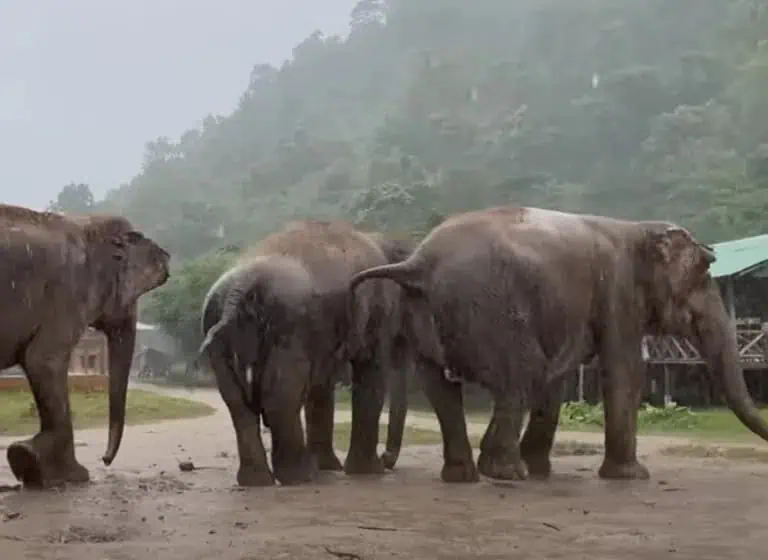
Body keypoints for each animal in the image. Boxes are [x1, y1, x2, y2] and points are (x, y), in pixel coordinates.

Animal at [0, 204, 170, 488]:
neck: (87, 225)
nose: (105, 459)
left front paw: (28, 462)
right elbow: (43, 361)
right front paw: (71, 475)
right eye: (133, 298)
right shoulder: (66, 296)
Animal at [197, 219, 410, 487]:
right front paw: (369, 471)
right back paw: (302, 476)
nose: (386, 459)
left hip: (216, 326)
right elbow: (371, 370)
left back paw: (258, 480)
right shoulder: (377, 311)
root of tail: (240, 285)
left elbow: (322, 383)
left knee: (237, 401)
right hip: (289, 323)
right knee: (280, 395)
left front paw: (332, 467)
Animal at [349, 205, 768, 483]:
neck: (636, 228)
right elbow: (623, 370)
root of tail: (419, 261)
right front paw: (633, 475)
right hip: (487, 309)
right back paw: (506, 472)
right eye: (704, 272)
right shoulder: (617, 291)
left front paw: (542, 469)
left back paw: (469, 473)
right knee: (522, 373)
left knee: (444, 387)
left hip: (427, 314)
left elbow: (560, 376)